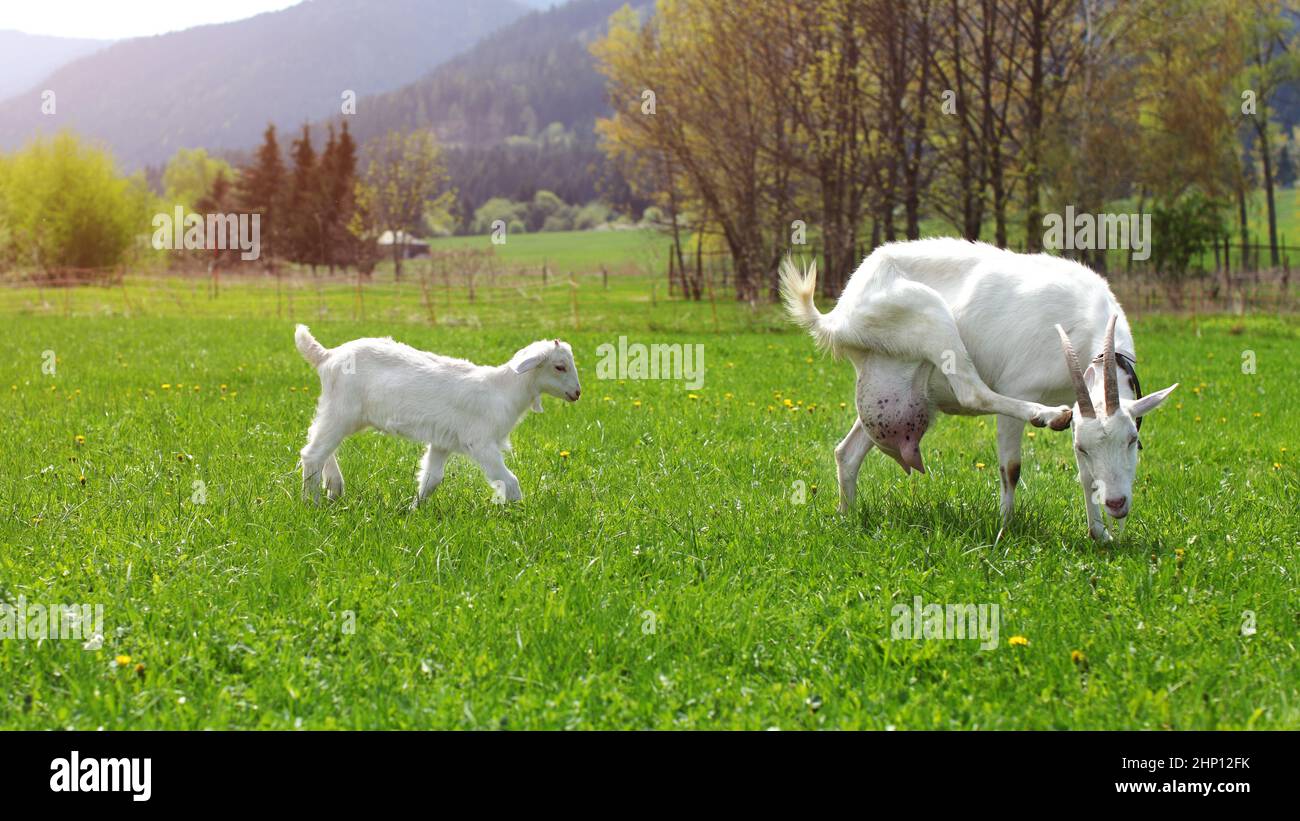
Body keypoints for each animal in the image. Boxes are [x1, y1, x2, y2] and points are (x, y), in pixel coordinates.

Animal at [293, 326, 581, 507]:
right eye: (559, 366)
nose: (577, 393)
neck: (503, 389)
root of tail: (327, 356)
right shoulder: (481, 443)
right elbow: (508, 480)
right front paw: (519, 513)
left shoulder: (444, 441)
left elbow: (431, 479)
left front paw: (414, 509)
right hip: (342, 410)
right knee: (312, 453)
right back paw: (312, 503)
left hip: (340, 412)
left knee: (316, 441)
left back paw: (334, 487)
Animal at [780, 238, 1177, 541]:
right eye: (1085, 447)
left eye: (1132, 440)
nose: (1116, 504)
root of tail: (841, 312)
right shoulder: (1020, 387)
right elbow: (1011, 468)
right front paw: (1005, 530)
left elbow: (1084, 475)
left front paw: (1100, 535)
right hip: (932, 318)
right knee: (973, 391)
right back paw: (1046, 415)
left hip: (892, 389)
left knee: (846, 452)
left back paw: (846, 517)